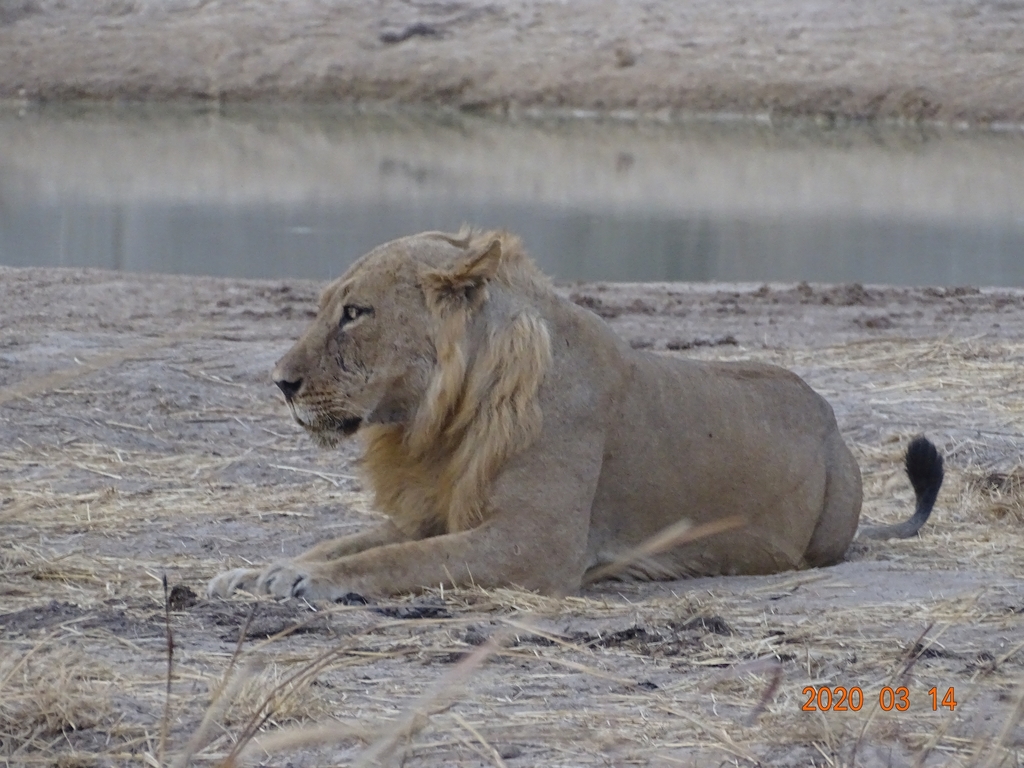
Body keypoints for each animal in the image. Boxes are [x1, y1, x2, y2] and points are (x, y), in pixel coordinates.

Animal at [207, 229, 944, 601]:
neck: (442, 421)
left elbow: (391, 563)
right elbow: (352, 542)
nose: (280, 384)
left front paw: (308, 579)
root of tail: (828, 415)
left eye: (355, 313)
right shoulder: (434, 514)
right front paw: (258, 570)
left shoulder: (535, 547)